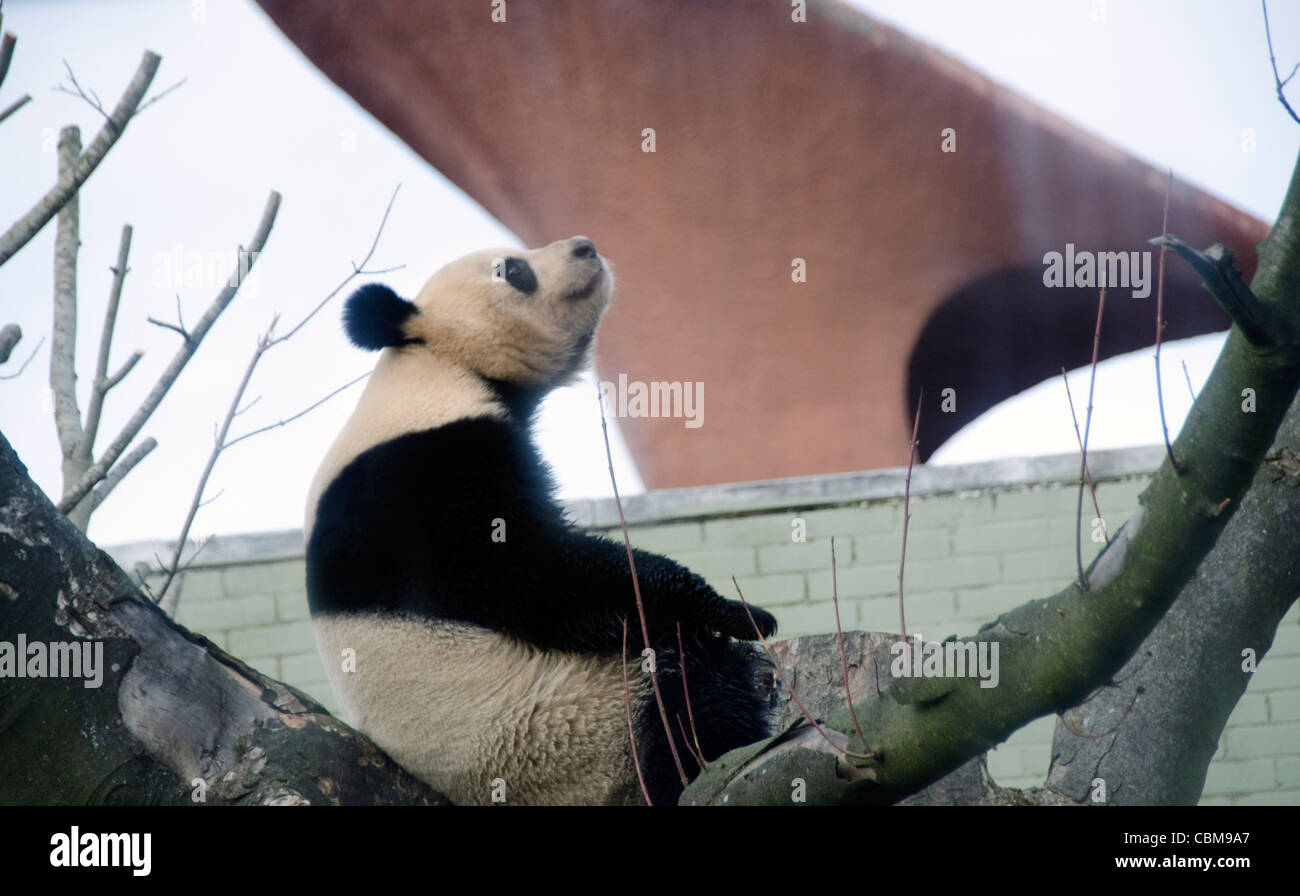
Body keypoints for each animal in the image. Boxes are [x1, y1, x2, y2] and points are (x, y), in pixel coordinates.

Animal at [304, 235, 779, 806]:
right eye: (513, 271)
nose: (585, 247)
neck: (436, 368)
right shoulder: (421, 478)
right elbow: (536, 573)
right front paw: (740, 612)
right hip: (576, 726)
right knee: (684, 687)